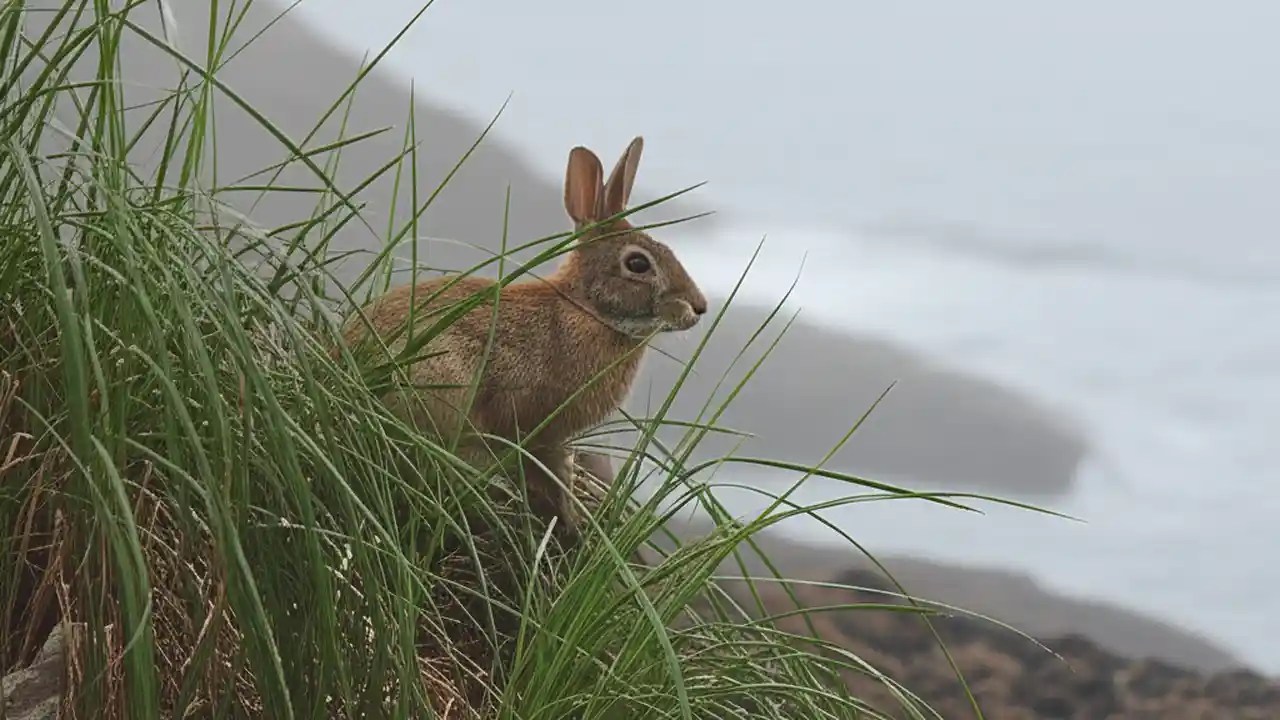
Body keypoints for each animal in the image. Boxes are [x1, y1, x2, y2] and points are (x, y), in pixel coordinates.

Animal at [341, 136, 708, 541]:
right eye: (638, 264)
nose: (699, 307)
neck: (588, 310)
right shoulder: (536, 425)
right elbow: (549, 476)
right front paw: (570, 527)